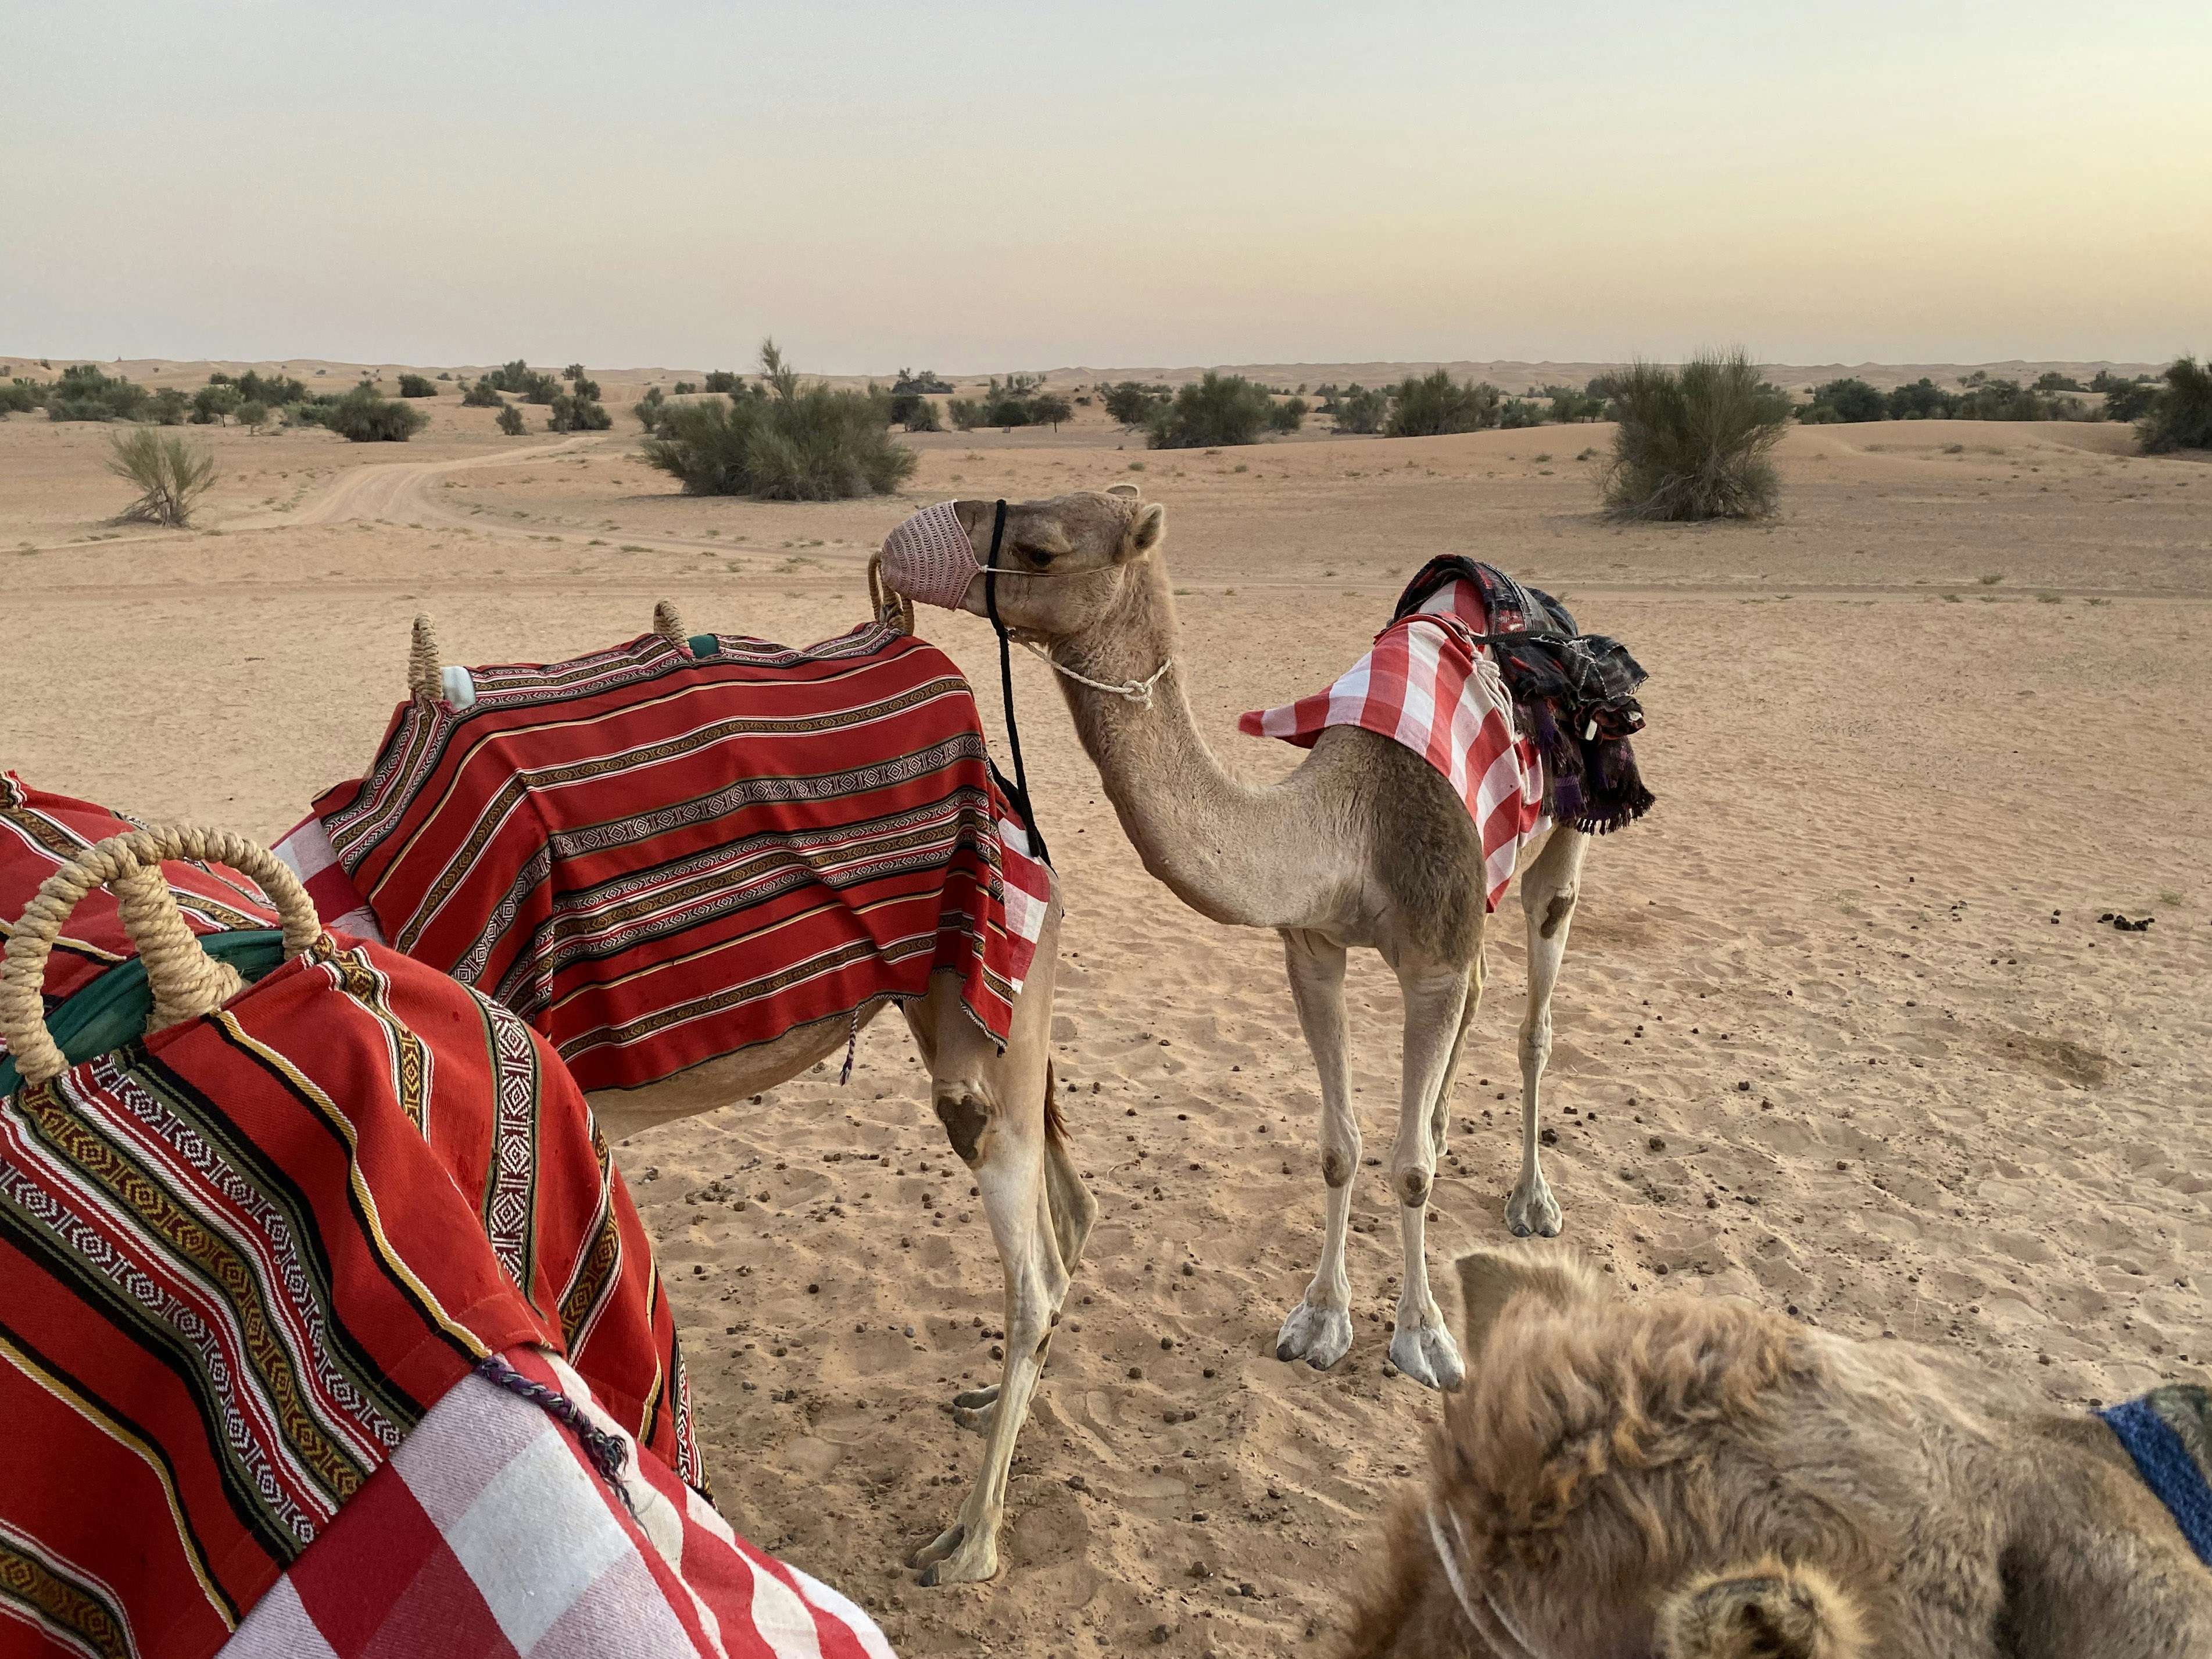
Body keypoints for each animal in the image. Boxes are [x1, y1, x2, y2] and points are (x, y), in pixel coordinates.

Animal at [390, 607, 1095, 1586]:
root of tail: (1012, 799)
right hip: (962, 1007)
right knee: (1069, 1210)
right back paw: (988, 1400)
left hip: (993, 1017)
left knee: (1033, 1264)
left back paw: (967, 1544)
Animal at [884, 491, 1590, 1391]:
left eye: (1041, 549)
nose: (903, 542)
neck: (1346, 827)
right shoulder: (1313, 948)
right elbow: (1338, 1147)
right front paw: (1319, 1320)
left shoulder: (1428, 951)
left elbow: (1408, 1169)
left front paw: (1423, 1336)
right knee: (1479, 989)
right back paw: (1441, 1127)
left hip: (1566, 829)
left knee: (1537, 990)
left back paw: (1532, 1200)